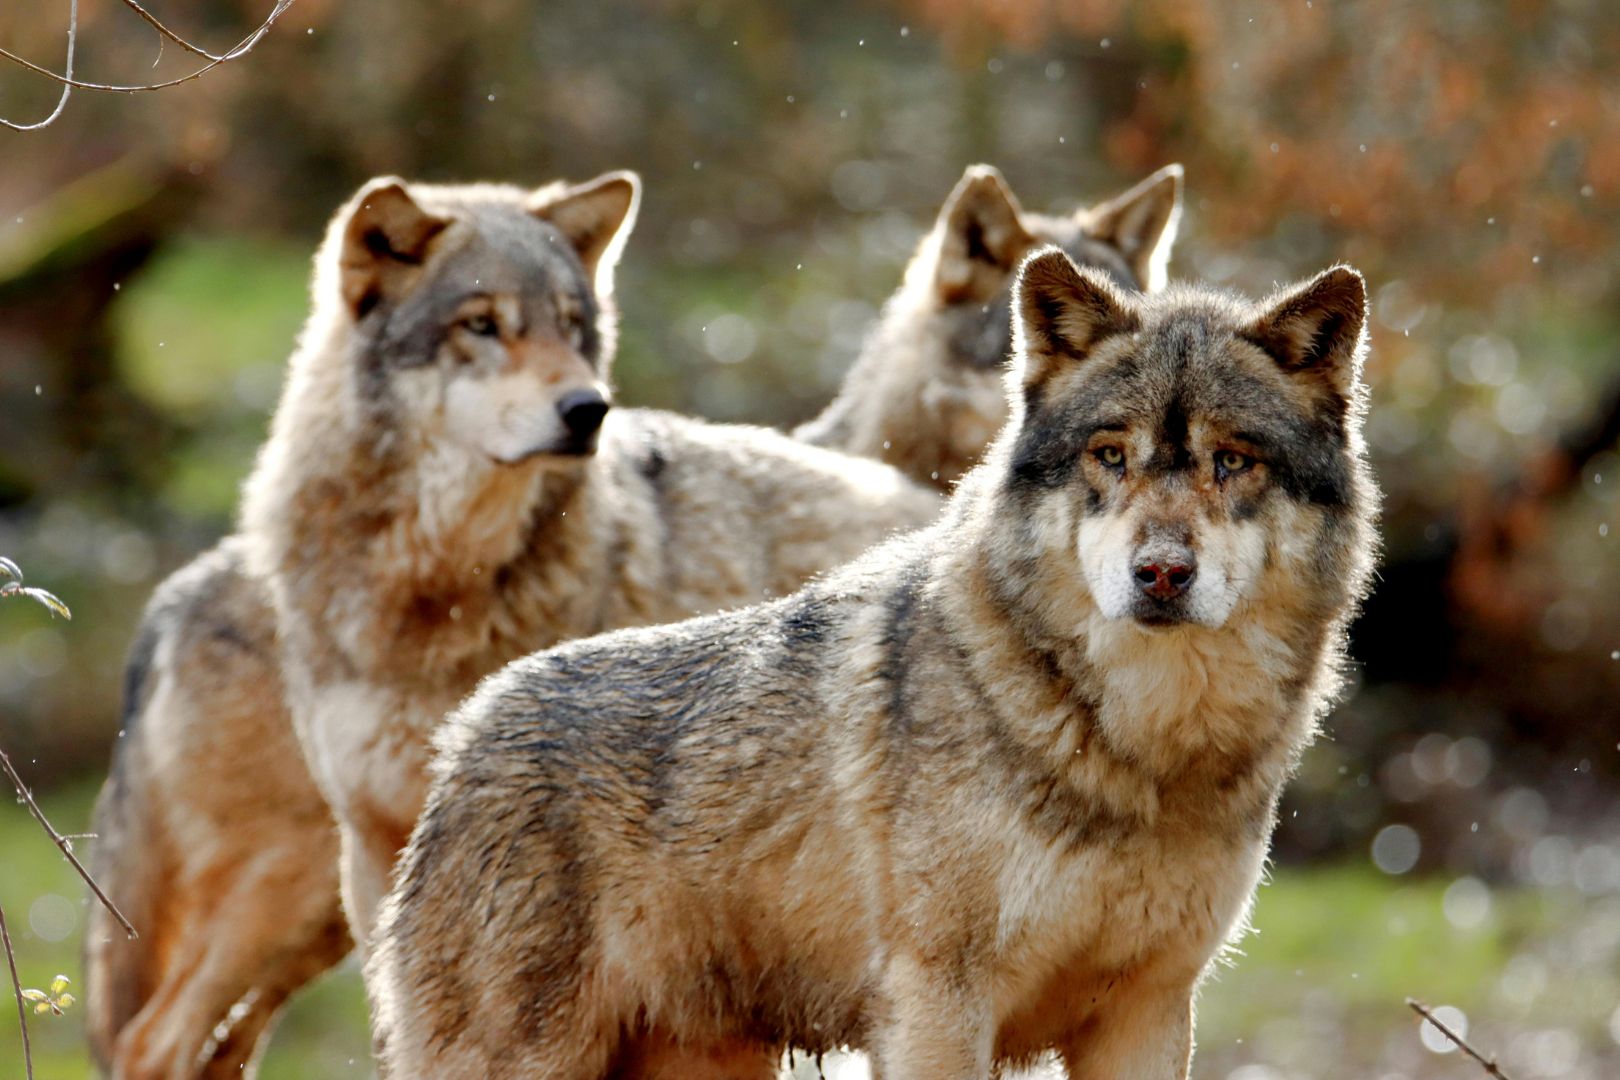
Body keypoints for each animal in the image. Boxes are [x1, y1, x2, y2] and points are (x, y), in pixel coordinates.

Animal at [86, 171, 940, 1079]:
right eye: (482, 324)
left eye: (572, 326)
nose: (589, 409)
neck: (431, 597)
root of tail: (174, 596)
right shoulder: (385, 853)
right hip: (290, 896)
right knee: (154, 1041)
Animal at [368, 250, 1379, 1080]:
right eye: (1110, 455)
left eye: (1232, 461)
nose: (1161, 573)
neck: (1138, 752)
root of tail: (468, 729)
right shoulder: (937, 1005)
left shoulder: (1149, 1012)